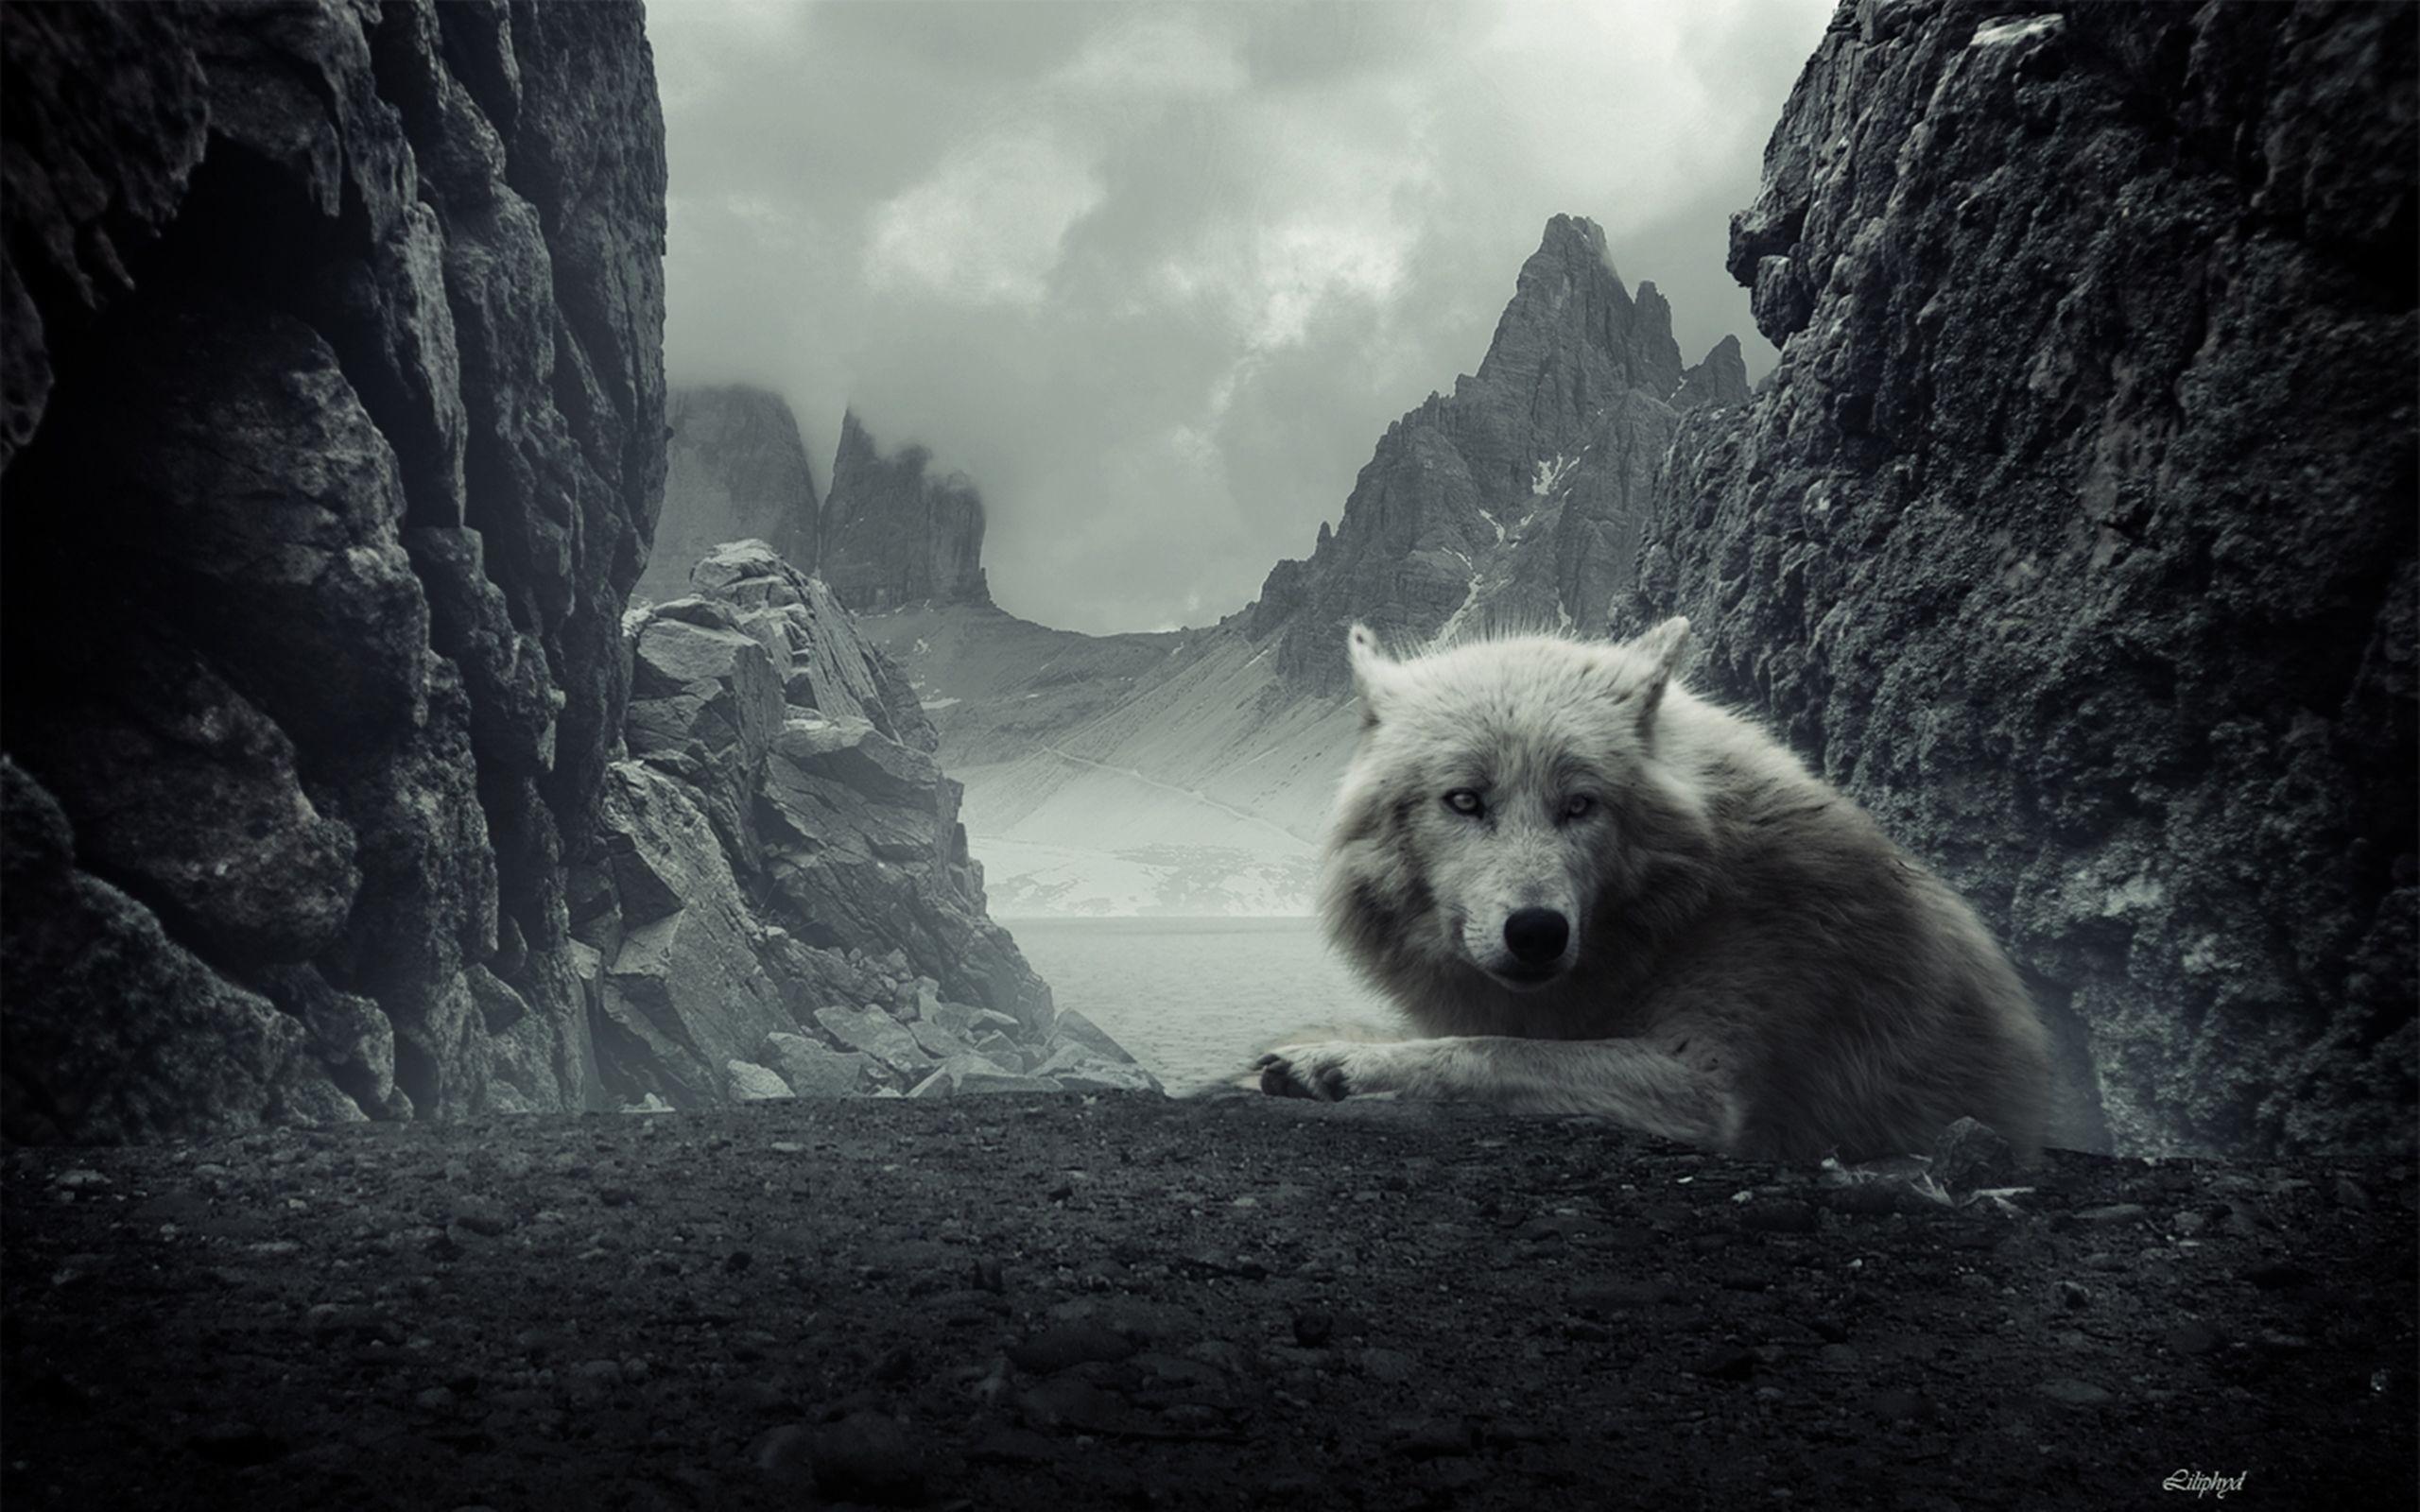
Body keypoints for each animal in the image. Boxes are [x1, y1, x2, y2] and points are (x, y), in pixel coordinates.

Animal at [1257, 619, 2052, 1163]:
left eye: (1580, 805)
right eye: (1464, 801)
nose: (1538, 932)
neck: (1677, 914)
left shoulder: (1704, 1082)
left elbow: (1489, 1050)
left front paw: (1334, 1062)